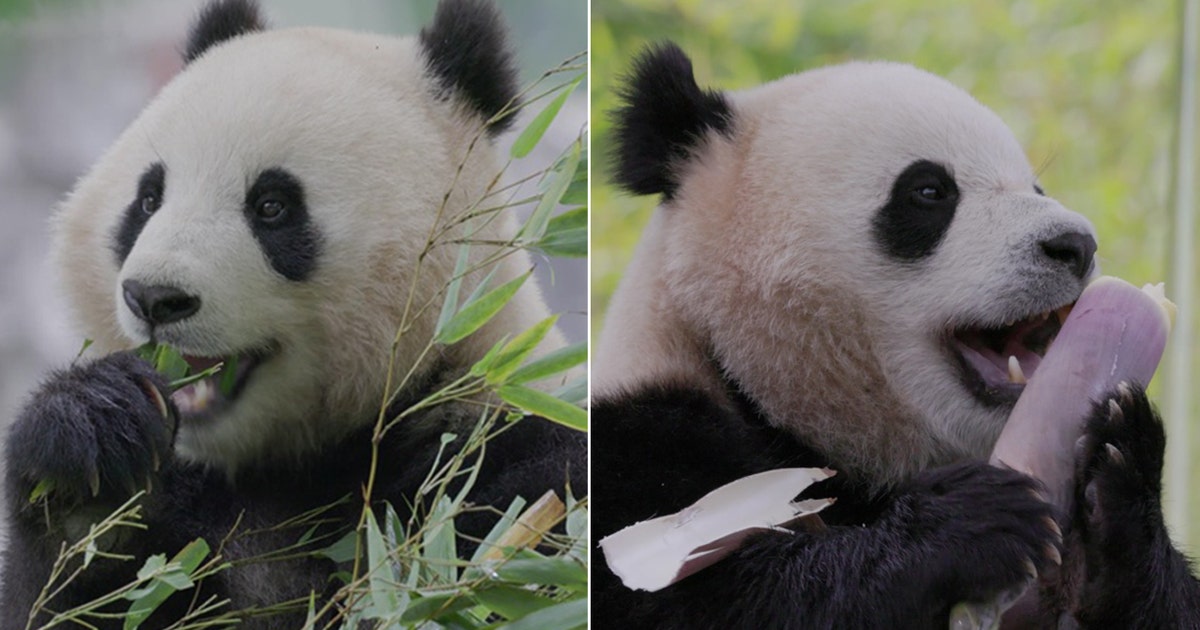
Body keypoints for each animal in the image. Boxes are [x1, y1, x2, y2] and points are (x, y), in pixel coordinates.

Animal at [0, 0, 584, 626]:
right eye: (149, 198)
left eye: (272, 206)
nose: (154, 297)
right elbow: (71, 592)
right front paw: (92, 446)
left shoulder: (490, 443)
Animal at [591, 43, 1200, 629]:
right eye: (929, 190)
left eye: (1036, 186)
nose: (1075, 245)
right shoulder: (644, 447)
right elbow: (724, 598)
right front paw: (973, 519)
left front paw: (1122, 455)